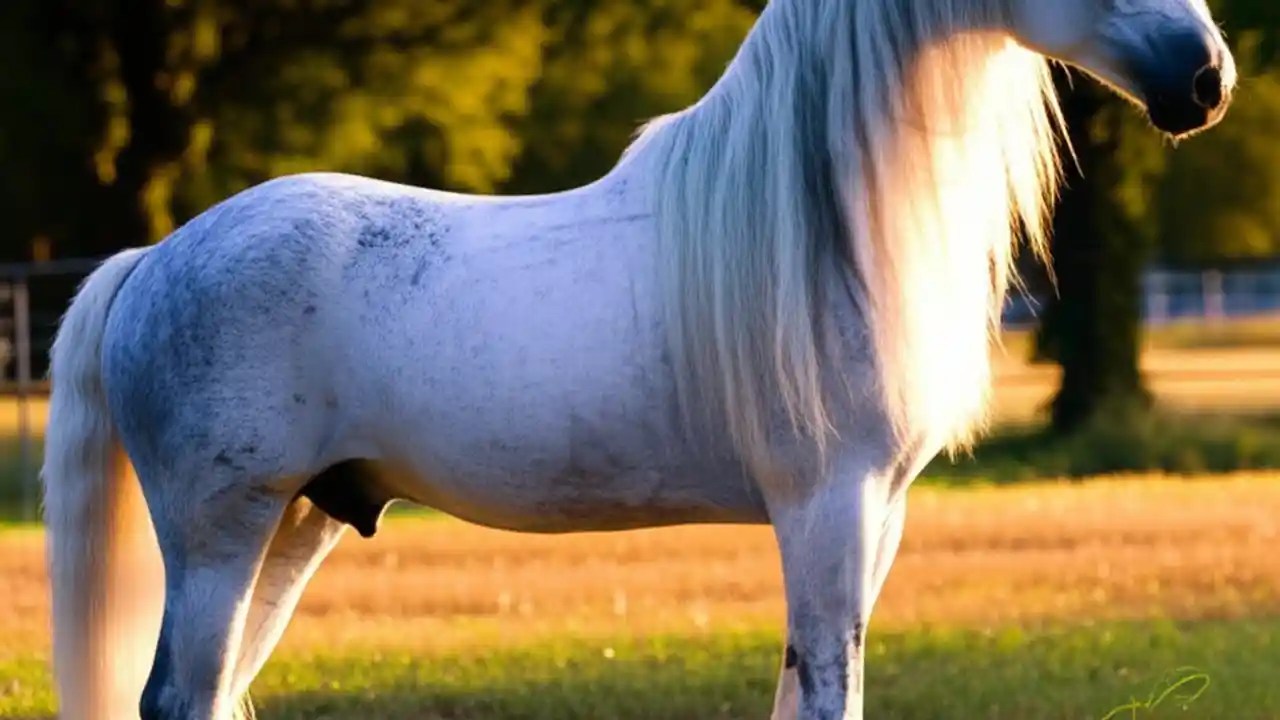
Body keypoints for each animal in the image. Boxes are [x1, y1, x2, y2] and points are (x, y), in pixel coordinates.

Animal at [42, 0, 1234, 718]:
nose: (1207, 79)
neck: (817, 226)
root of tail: (151, 262)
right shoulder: (828, 505)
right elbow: (829, 688)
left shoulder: (875, 512)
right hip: (219, 533)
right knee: (177, 696)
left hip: (296, 523)